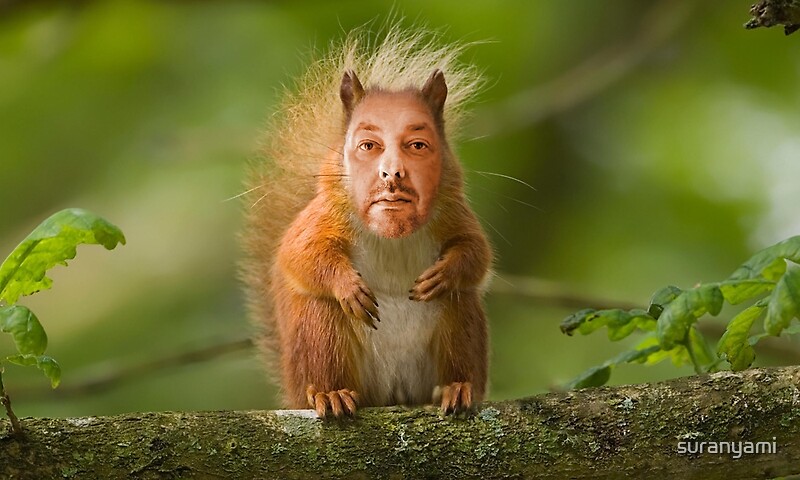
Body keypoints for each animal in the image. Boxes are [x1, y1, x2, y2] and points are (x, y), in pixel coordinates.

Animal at [242, 26, 492, 418]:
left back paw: (456, 389)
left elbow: (476, 252)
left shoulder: (454, 214)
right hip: (321, 333)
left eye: (419, 145)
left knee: (458, 312)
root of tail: (393, 393)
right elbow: (301, 253)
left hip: (460, 321)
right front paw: (348, 287)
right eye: (367, 145)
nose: (392, 175)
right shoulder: (321, 218)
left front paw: (444, 273)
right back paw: (331, 394)